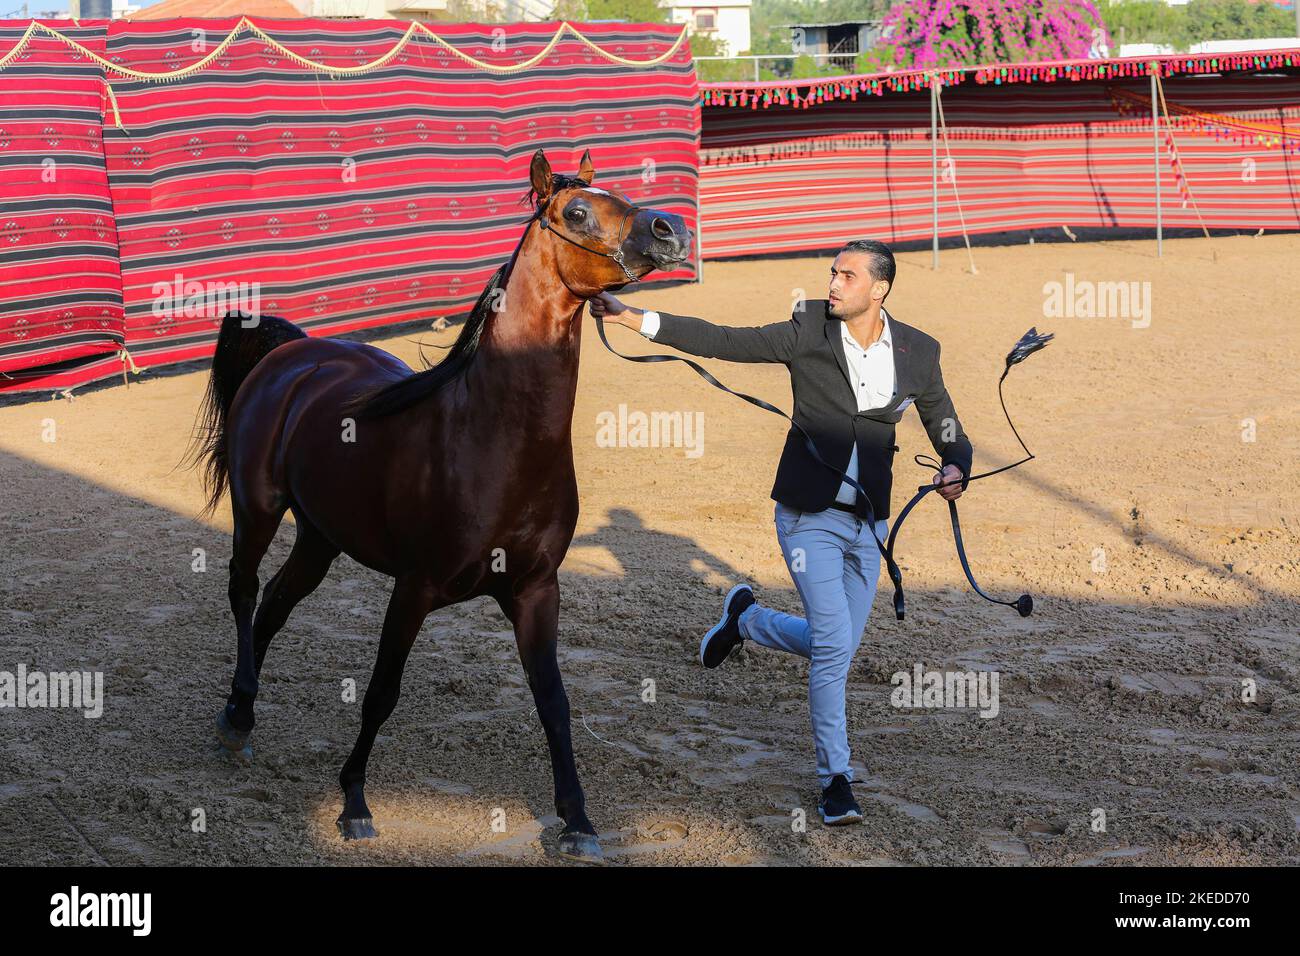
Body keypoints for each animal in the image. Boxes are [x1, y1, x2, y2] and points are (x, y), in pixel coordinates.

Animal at [189, 149, 692, 860]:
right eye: (576, 211)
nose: (670, 229)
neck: (492, 437)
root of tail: (291, 354)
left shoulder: (536, 590)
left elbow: (554, 702)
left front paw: (578, 821)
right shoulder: (415, 587)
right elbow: (381, 692)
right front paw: (353, 803)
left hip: (320, 537)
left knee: (274, 606)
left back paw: (242, 709)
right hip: (257, 510)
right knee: (242, 590)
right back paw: (237, 716)